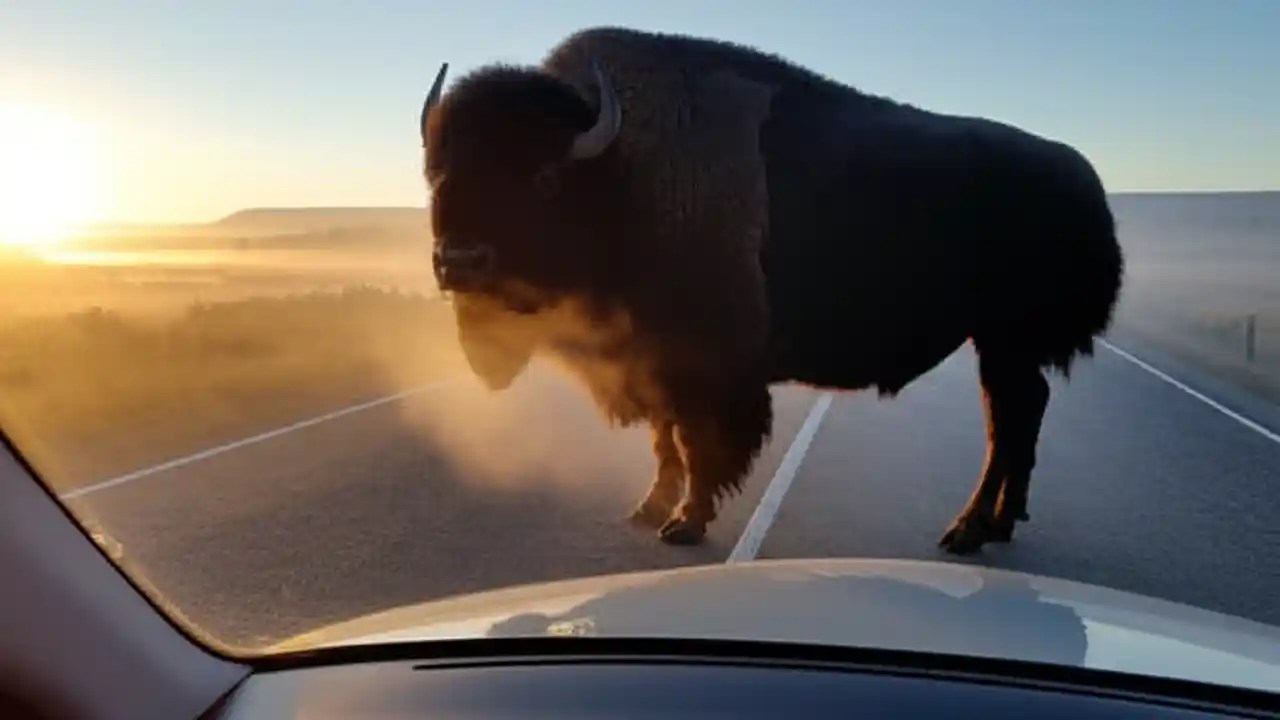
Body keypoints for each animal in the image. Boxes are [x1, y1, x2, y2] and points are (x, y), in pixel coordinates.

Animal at [419, 27, 1124, 554]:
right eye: (439, 175)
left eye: (542, 179)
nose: (460, 262)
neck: (620, 175)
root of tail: (1082, 177)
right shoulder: (649, 362)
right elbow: (664, 438)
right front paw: (649, 507)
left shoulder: (702, 368)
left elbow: (696, 442)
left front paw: (685, 522)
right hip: (1001, 345)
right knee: (1018, 414)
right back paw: (999, 523)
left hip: (1004, 340)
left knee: (1008, 420)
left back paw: (967, 531)